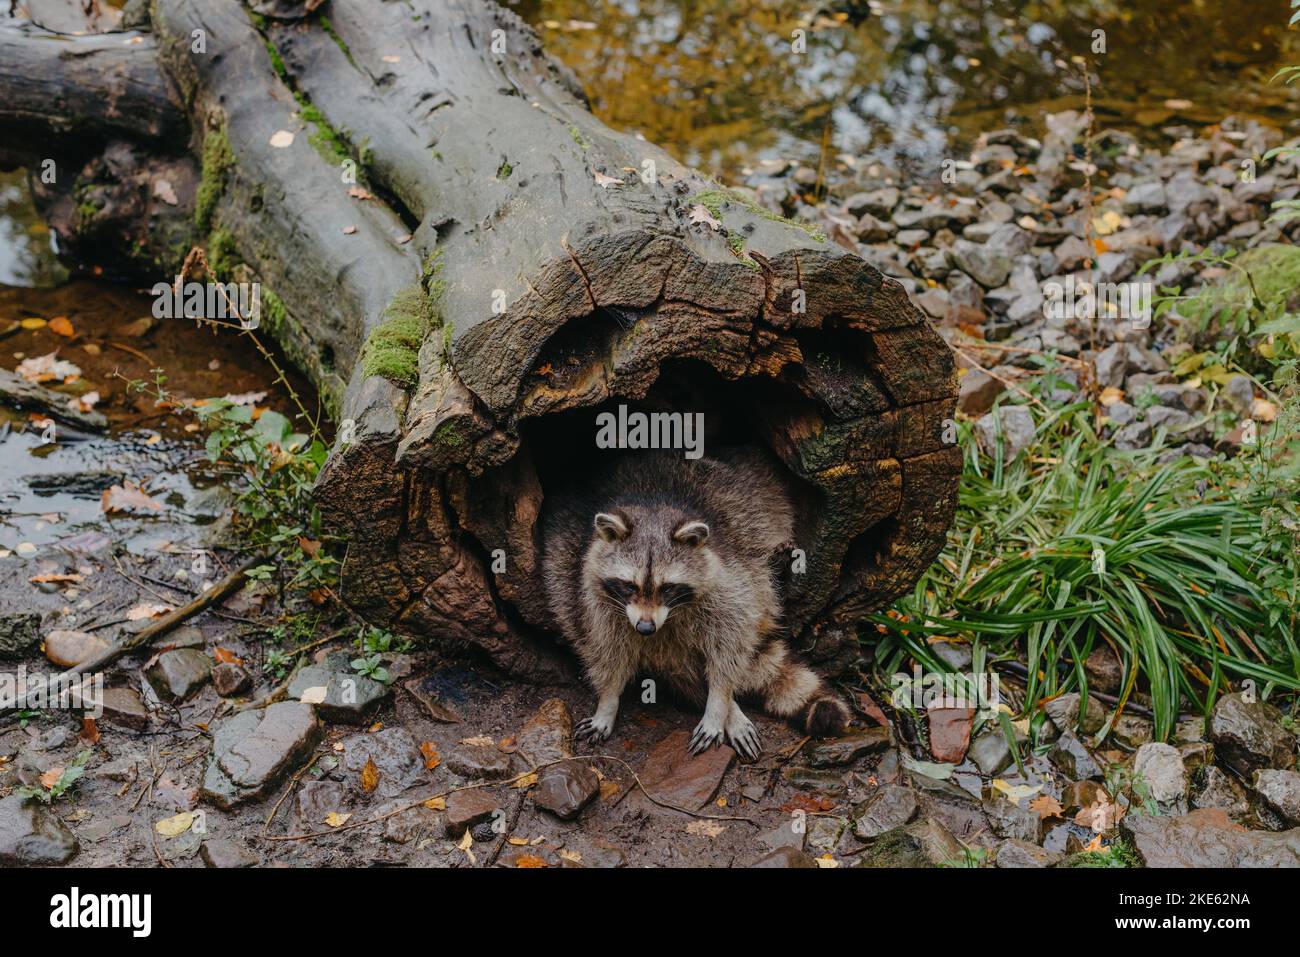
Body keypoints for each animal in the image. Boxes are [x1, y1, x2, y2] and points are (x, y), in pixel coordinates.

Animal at [542, 449, 850, 759]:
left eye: (667, 588)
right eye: (629, 586)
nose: (645, 628)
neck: (653, 505)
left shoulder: (730, 580)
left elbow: (730, 645)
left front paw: (719, 704)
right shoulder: (588, 596)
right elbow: (605, 651)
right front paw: (608, 702)